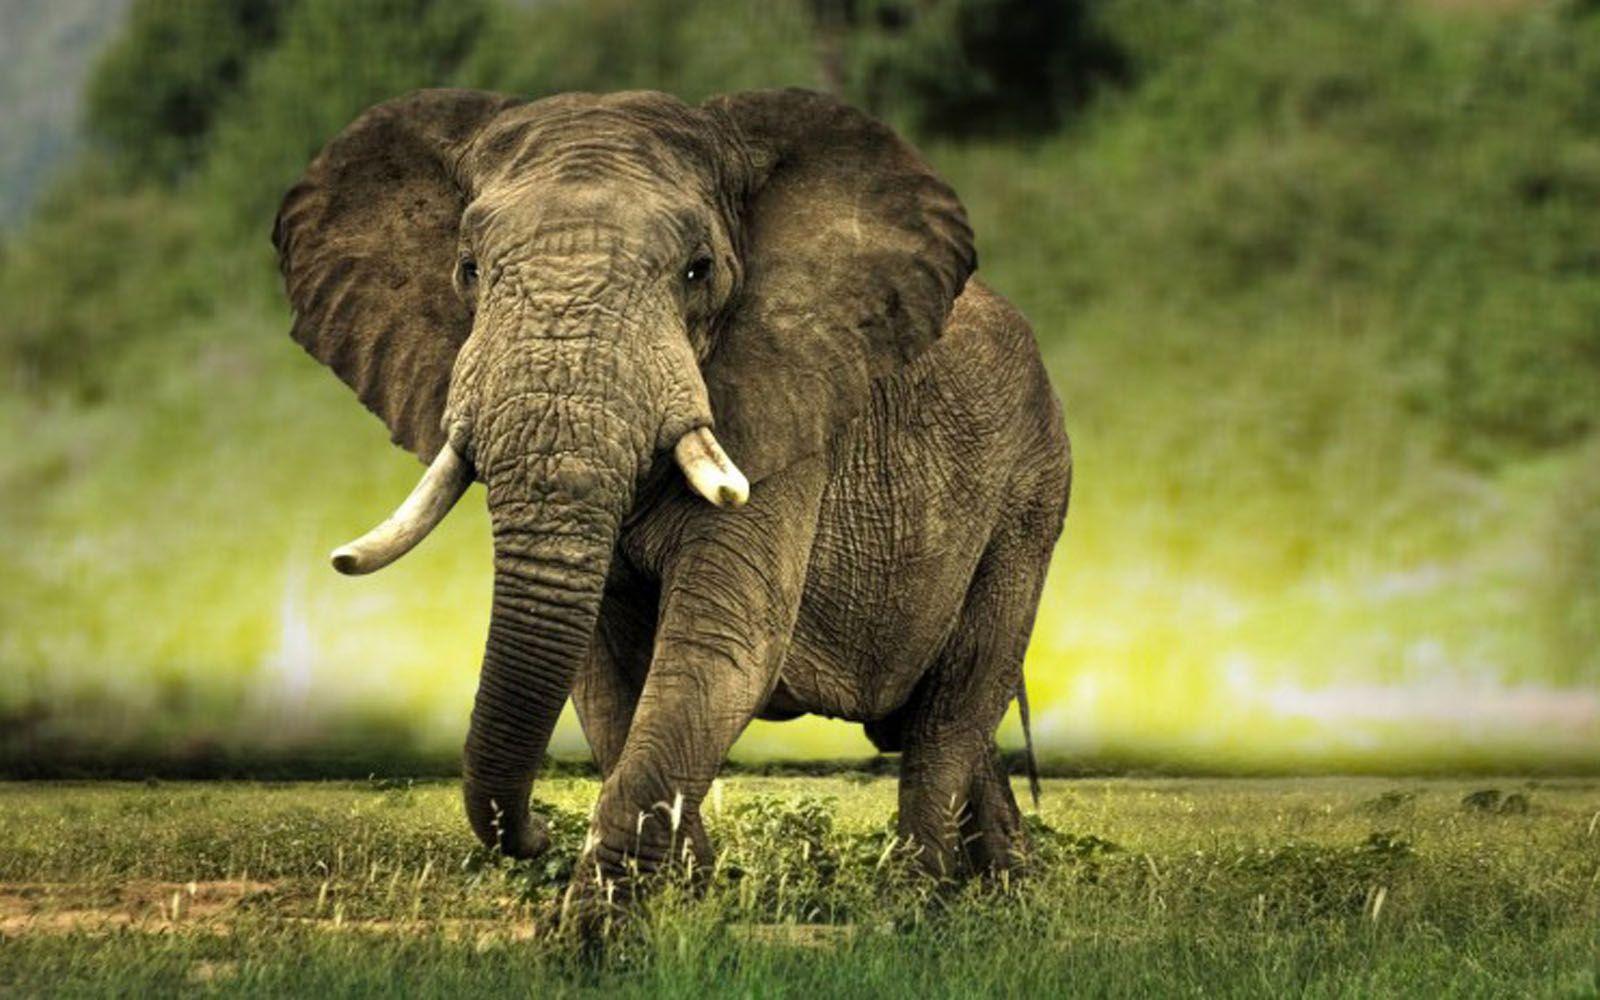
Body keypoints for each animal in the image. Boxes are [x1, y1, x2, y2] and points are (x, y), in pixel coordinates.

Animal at [272, 87, 1071, 913]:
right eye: (468, 270)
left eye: (699, 271)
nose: (536, 834)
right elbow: (605, 679)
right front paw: (685, 900)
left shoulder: (785, 414)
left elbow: (718, 647)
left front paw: (595, 930)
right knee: (933, 722)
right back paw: (1005, 890)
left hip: (1030, 497)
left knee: (954, 706)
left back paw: (915, 904)